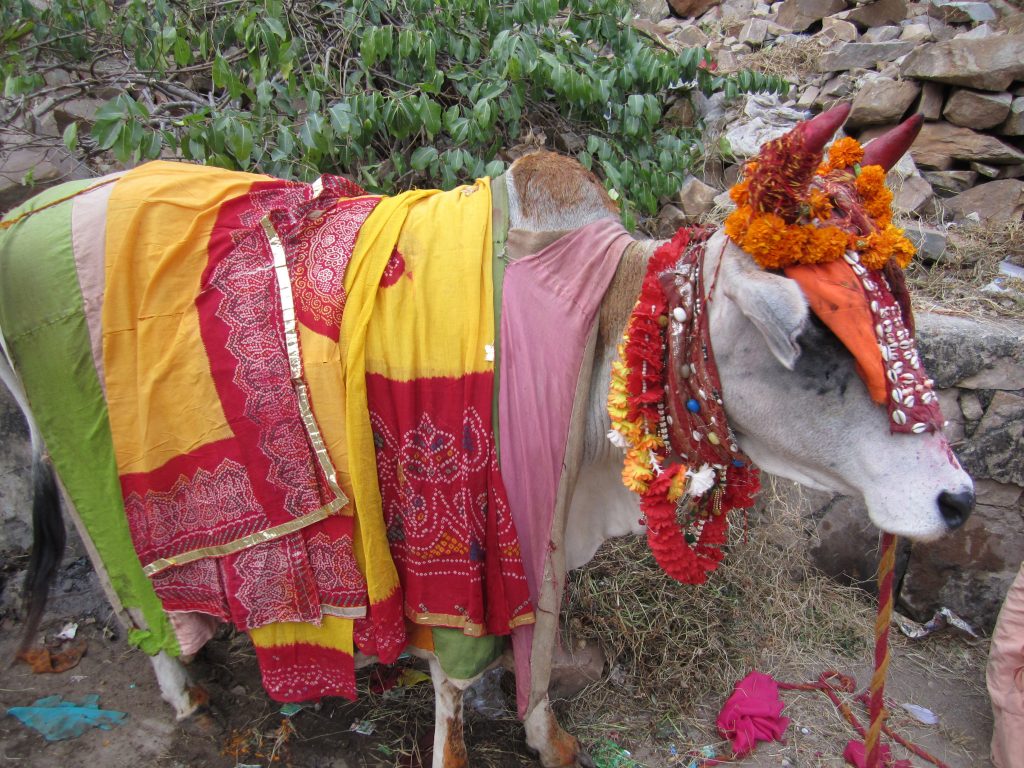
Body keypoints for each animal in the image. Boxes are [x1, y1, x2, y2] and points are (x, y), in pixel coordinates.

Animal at [0, 104, 974, 768]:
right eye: (815, 337)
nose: (955, 498)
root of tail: (33, 208)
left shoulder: (543, 528)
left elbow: (539, 647)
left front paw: (550, 737)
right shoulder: (471, 536)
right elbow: (456, 679)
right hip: (84, 462)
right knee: (119, 579)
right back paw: (185, 685)